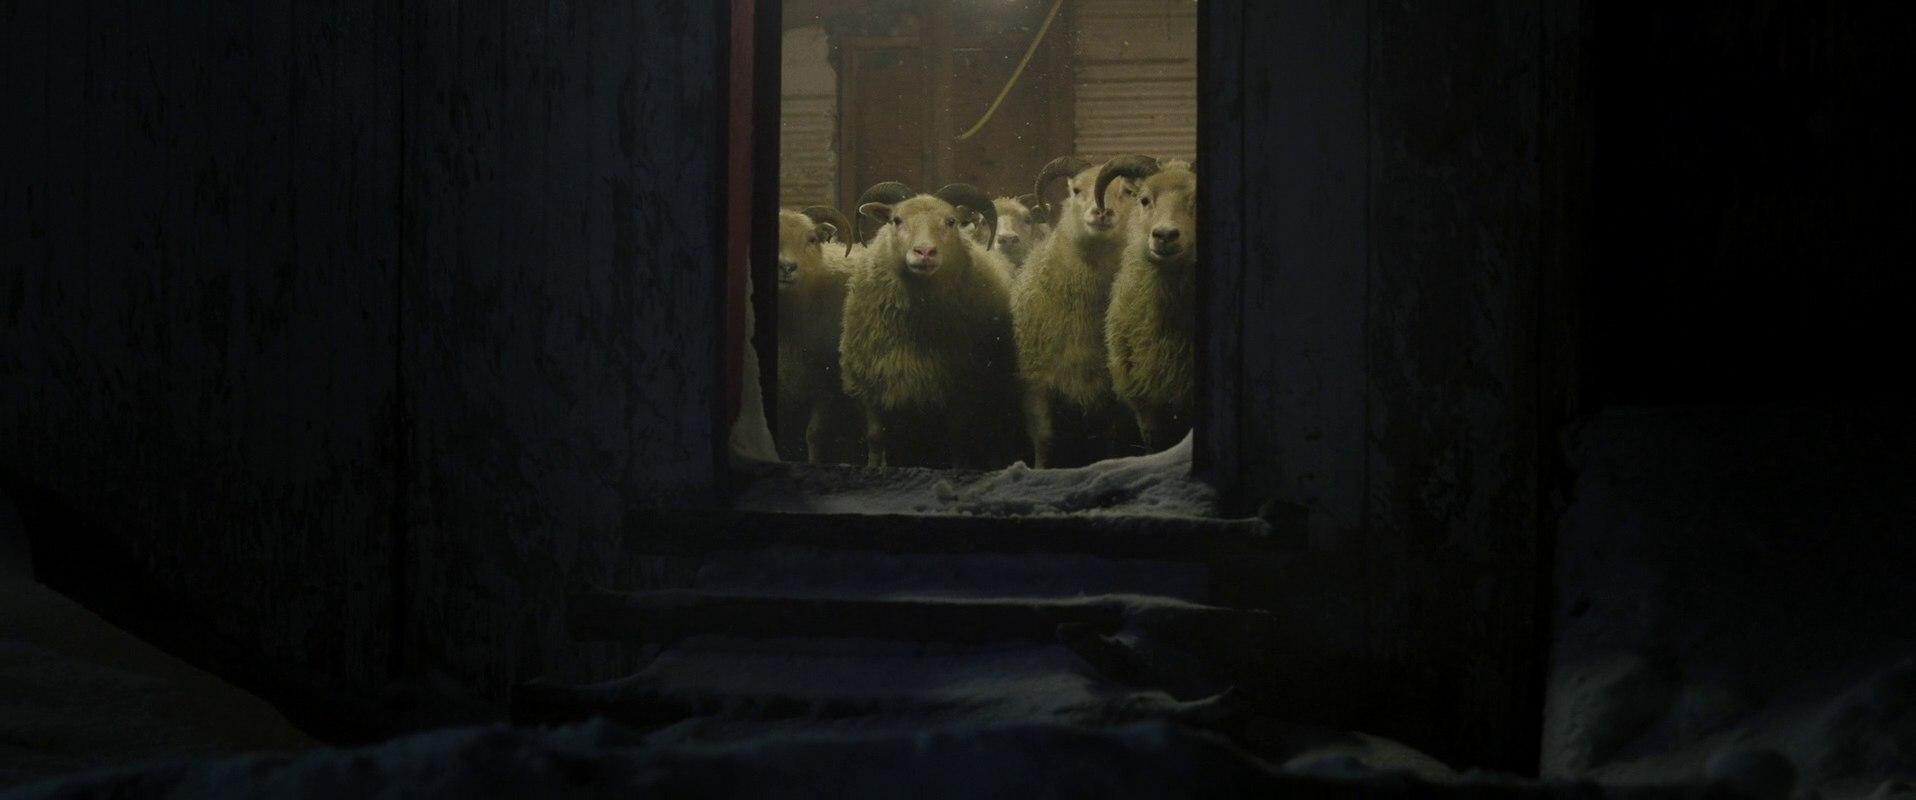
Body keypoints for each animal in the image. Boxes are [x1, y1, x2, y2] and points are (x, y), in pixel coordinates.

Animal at [838, 181, 1024, 469]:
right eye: (896, 220)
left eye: (951, 221)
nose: (924, 252)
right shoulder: (869, 377)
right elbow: (876, 435)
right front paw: (873, 467)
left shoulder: (961, 383)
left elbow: (957, 435)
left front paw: (959, 468)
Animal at [1010, 155, 1143, 468]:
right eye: (1075, 190)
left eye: (1127, 192)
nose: (1102, 211)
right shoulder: (1034, 379)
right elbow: (1044, 438)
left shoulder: (1111, 391)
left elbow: (1112, 439)